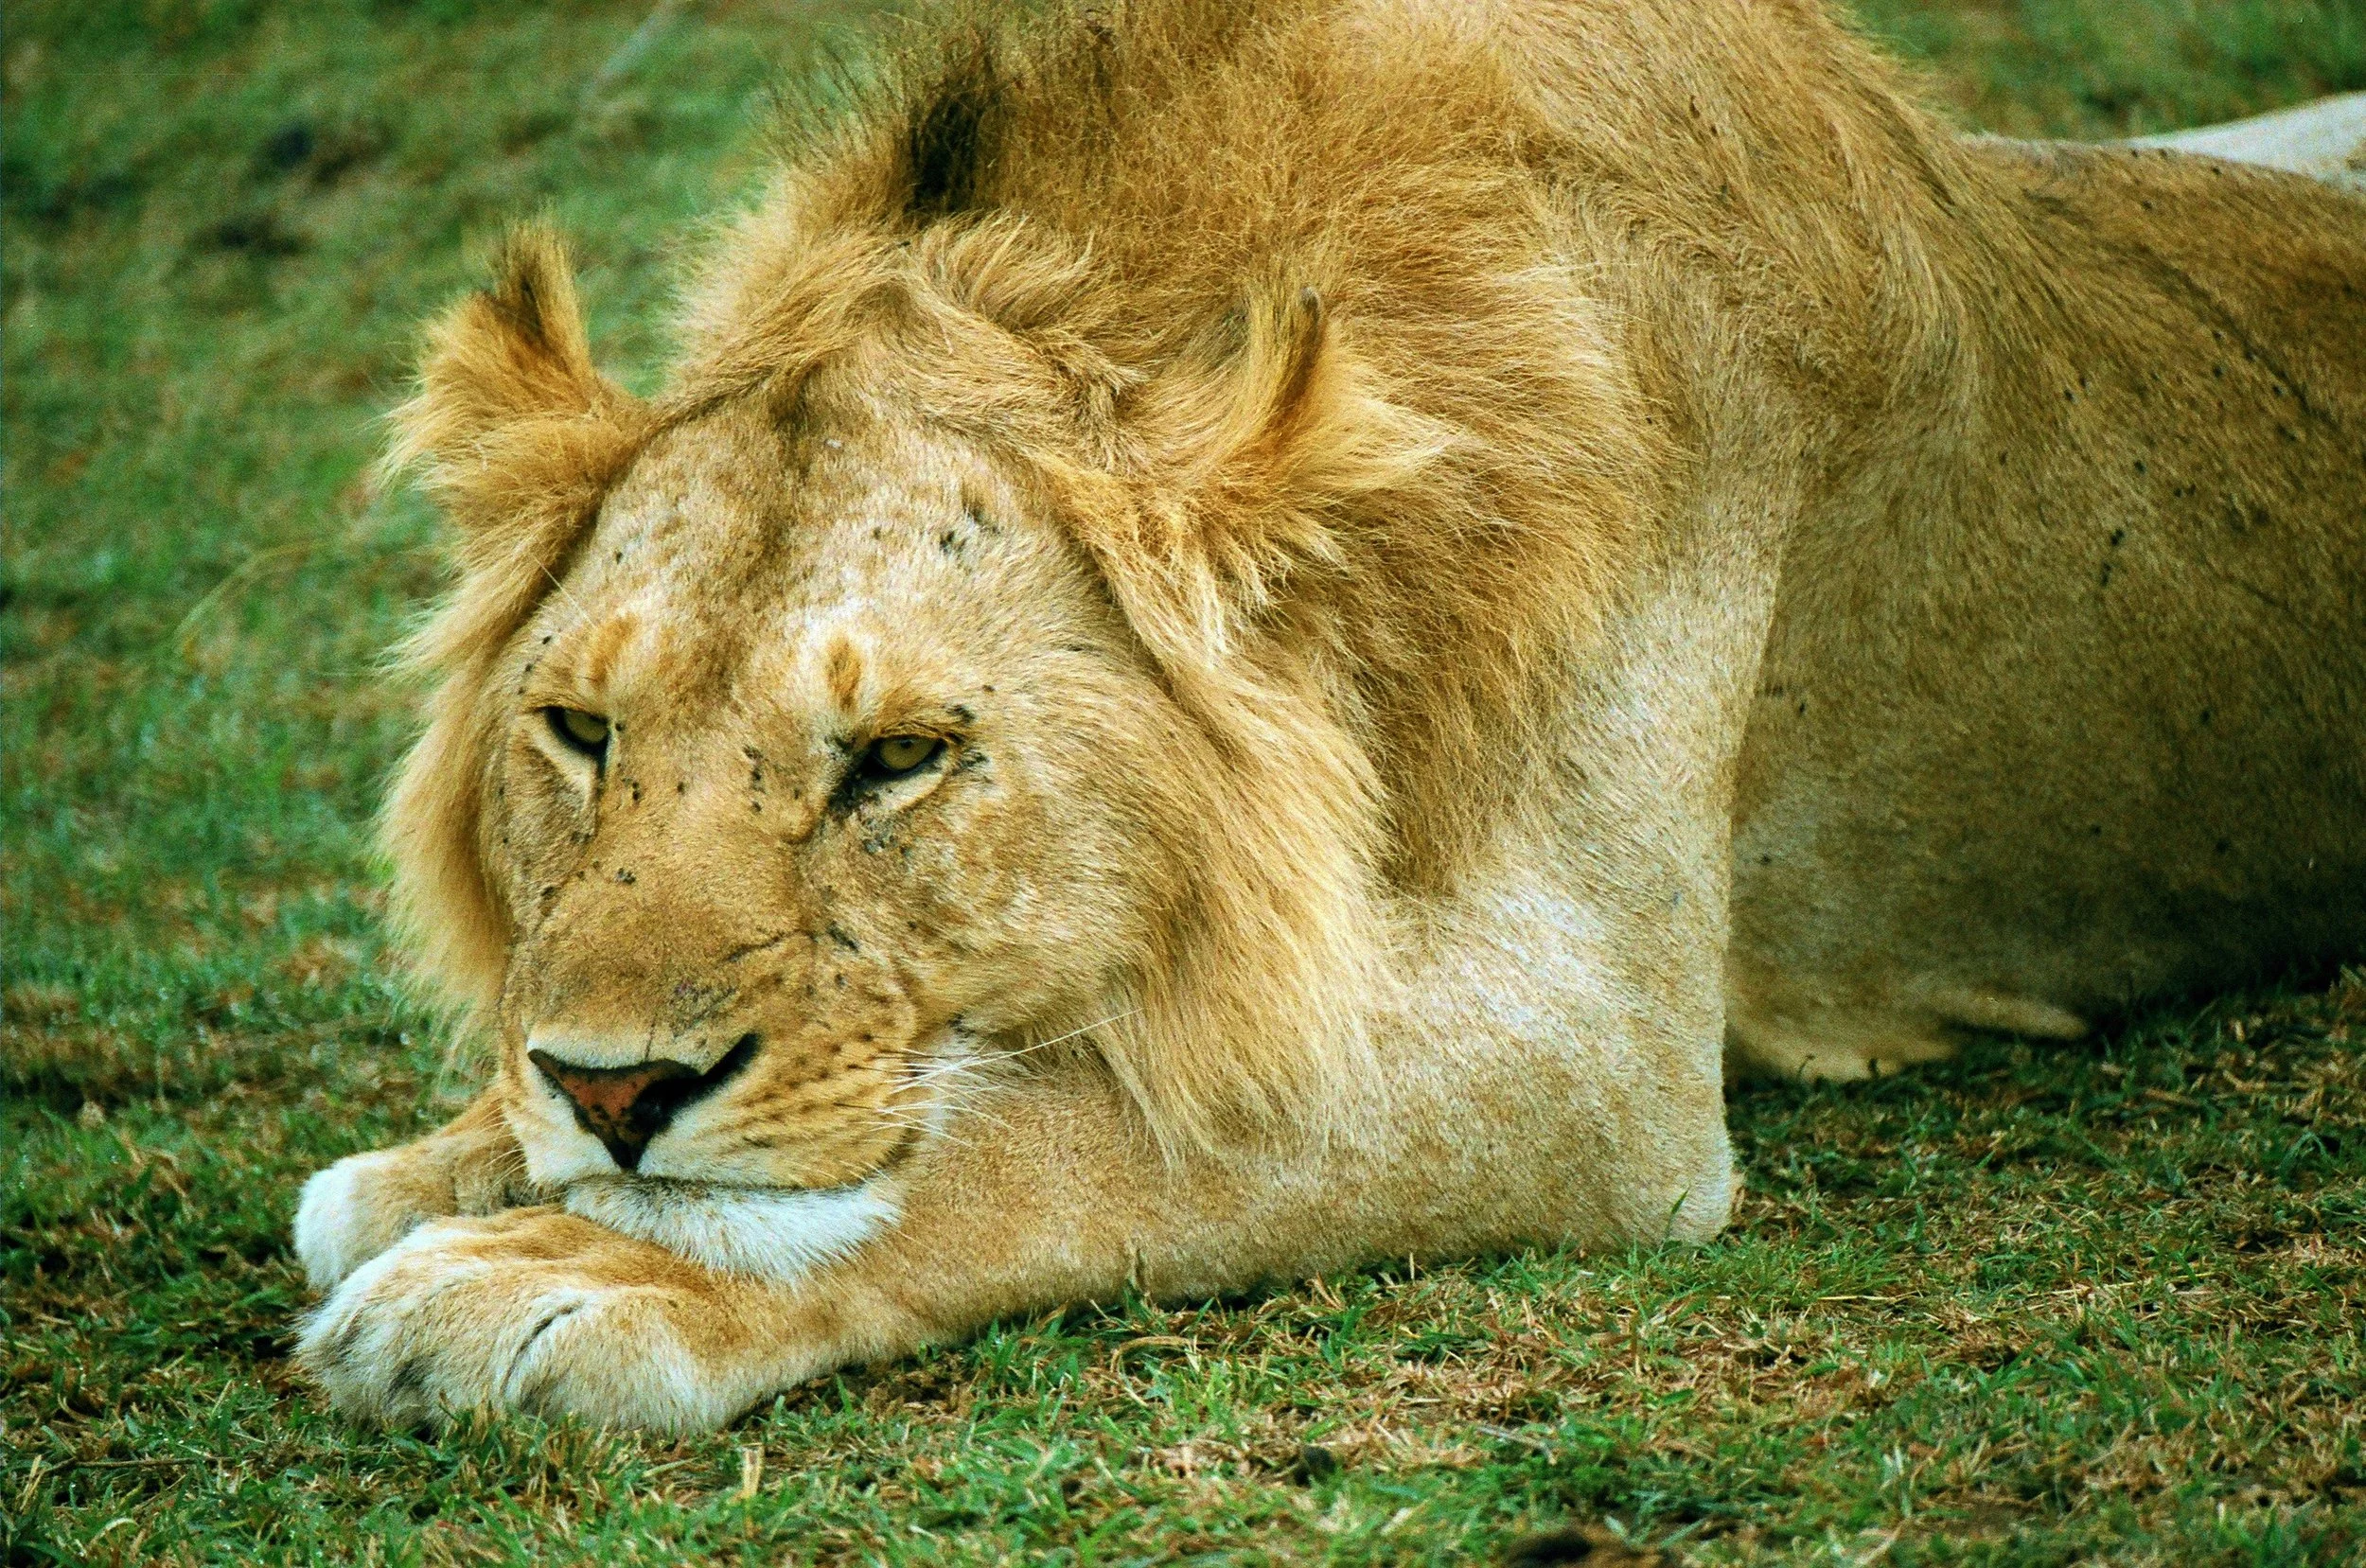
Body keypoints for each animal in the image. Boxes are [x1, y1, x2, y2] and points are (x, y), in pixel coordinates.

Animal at [291, 0, 2366, 1432]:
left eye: (897, 759)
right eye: (577, 732)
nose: (608, 1090)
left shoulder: (1596, 1055)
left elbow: (1039, 1139)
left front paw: (541, 1272)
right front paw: (462, 1155)